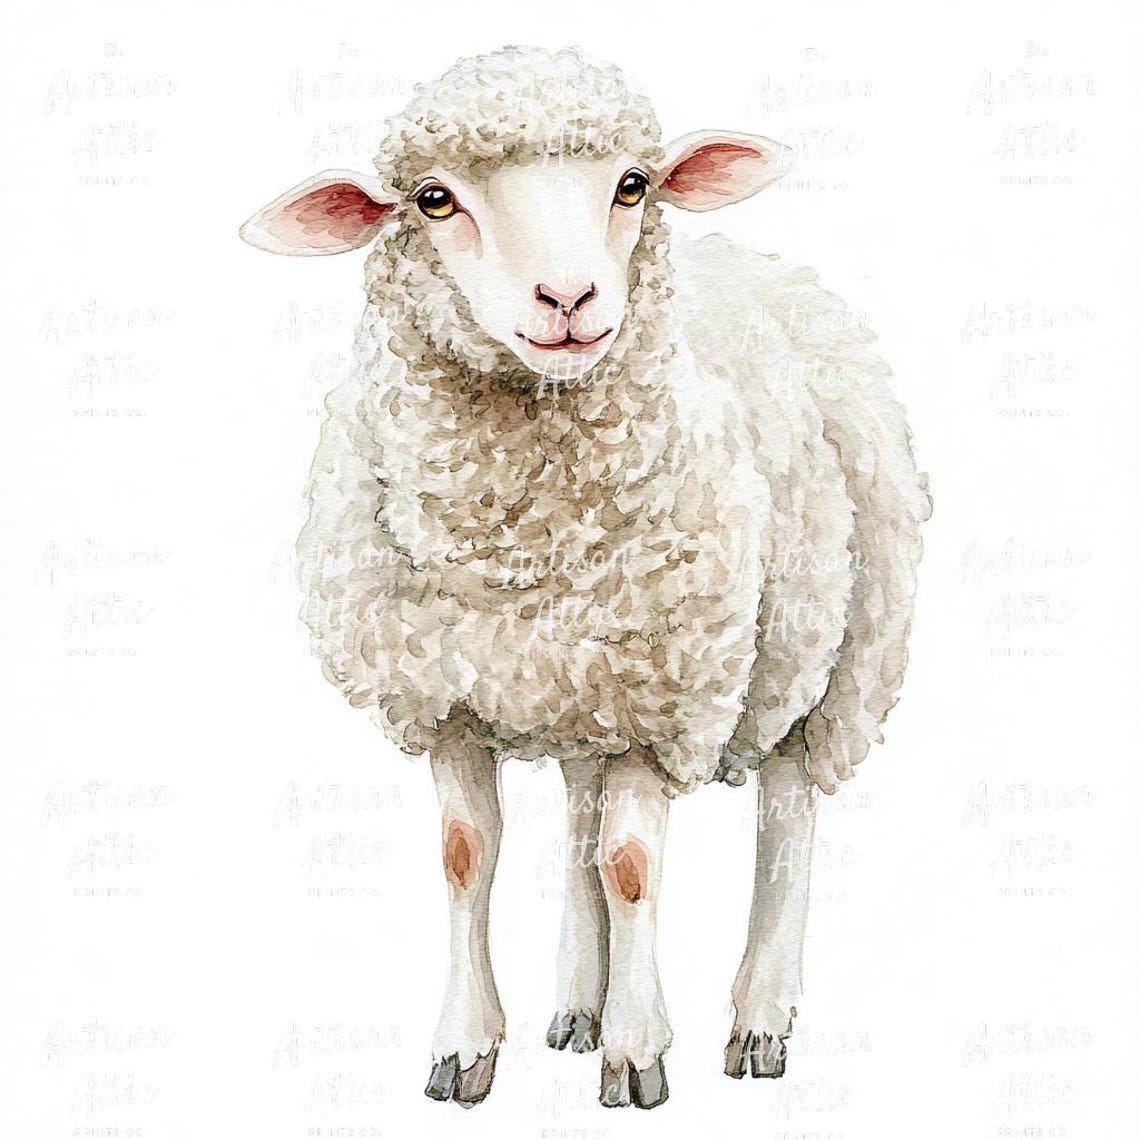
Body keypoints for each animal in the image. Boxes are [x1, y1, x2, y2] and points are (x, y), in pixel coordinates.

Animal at [240, 44, 931, 1110]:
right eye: (433, 198)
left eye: (633, 185)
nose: (570, 301)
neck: (521, 548)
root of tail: (765, 262)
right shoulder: (448, 691)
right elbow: (468, 858)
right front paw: (467, 1047)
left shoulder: (666, 695)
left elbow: (633, 864)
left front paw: (639, 1052)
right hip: (583, 690)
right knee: (577, 813)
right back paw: (576, 1004)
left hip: (835, 653)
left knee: (786, 813)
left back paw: (758, 1018)